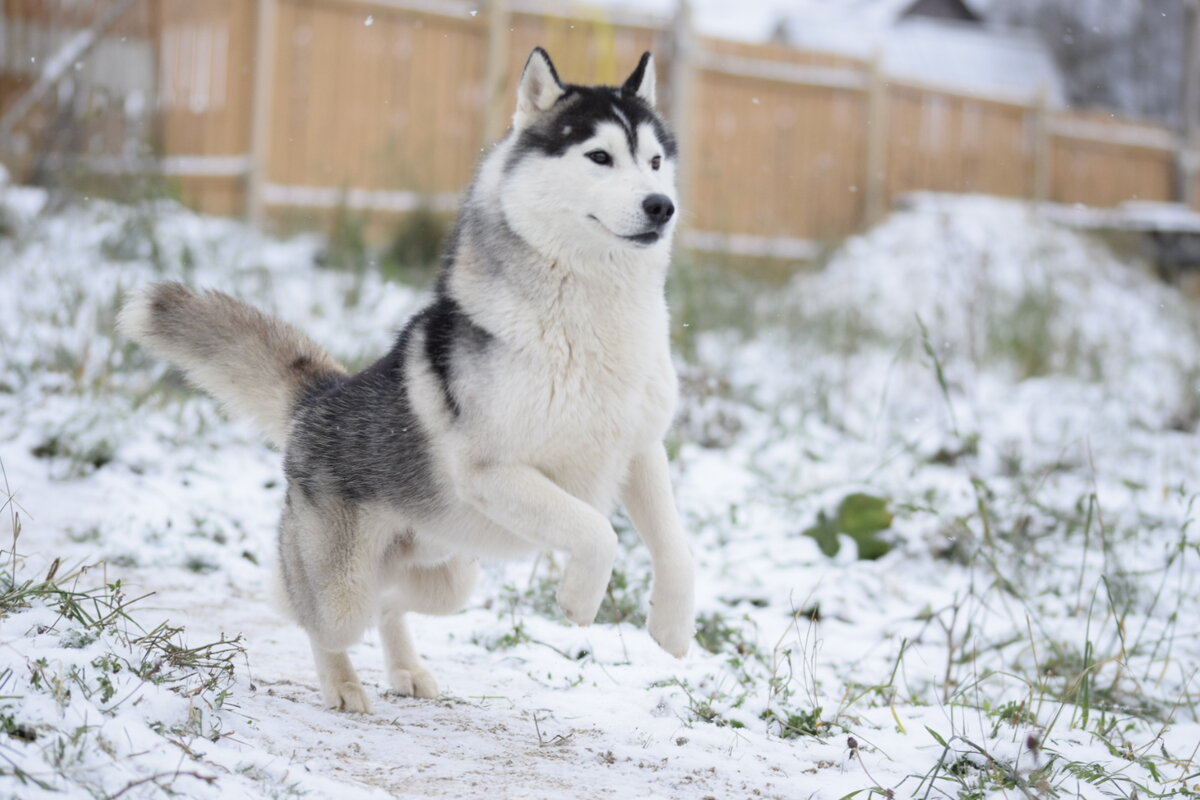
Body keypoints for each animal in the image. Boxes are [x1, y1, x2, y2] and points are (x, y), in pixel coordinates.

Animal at [120, 48, 696, 714]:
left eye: (654, 161)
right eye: (599, 157)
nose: (660, 206)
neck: (596, 319)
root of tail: (321, 395)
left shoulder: (639, 449)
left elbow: (675, 545)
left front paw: (673, 629)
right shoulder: (492, 471)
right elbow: (597, 531)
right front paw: (580, 599)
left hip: (451, 575)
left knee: (391, 604)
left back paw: (406, 669)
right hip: (342, 586)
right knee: (323, 620)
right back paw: (342, 684)